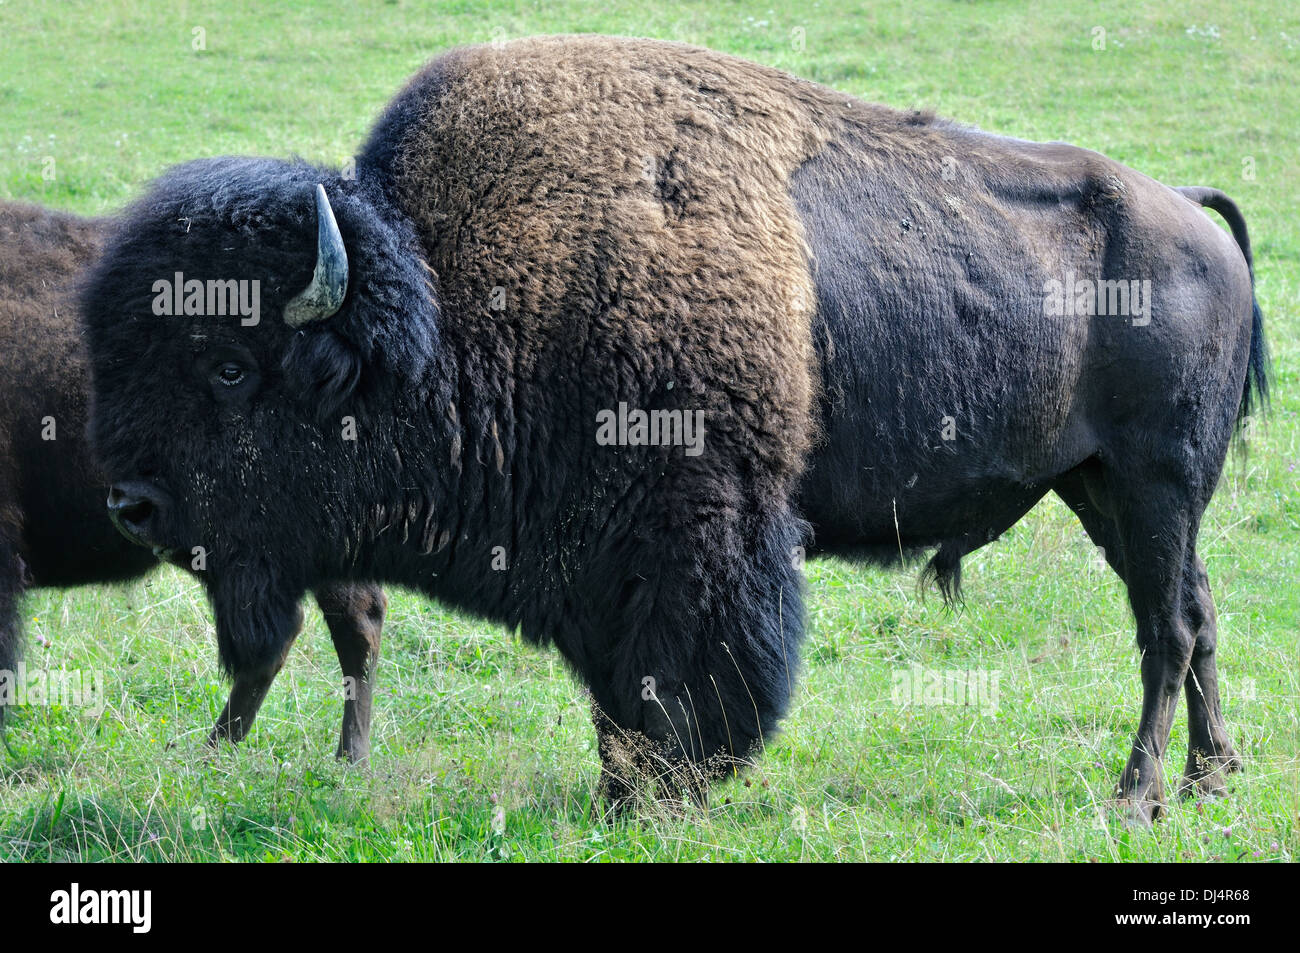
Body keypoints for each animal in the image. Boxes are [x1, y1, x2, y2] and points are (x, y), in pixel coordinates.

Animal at [80, 36, 1268, 822]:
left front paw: (667, 791)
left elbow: (684, 672)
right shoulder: (591, 563)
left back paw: (1136, 794)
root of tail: (1191, 213)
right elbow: (614, 688)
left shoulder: (698, 533)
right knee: (1199, 613)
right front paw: (620, 788)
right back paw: (1211, 777)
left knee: (1165, 631)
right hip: (1108, 490)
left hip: (1153, 485)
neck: (448, 302)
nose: (130, 502)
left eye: (230, 365)